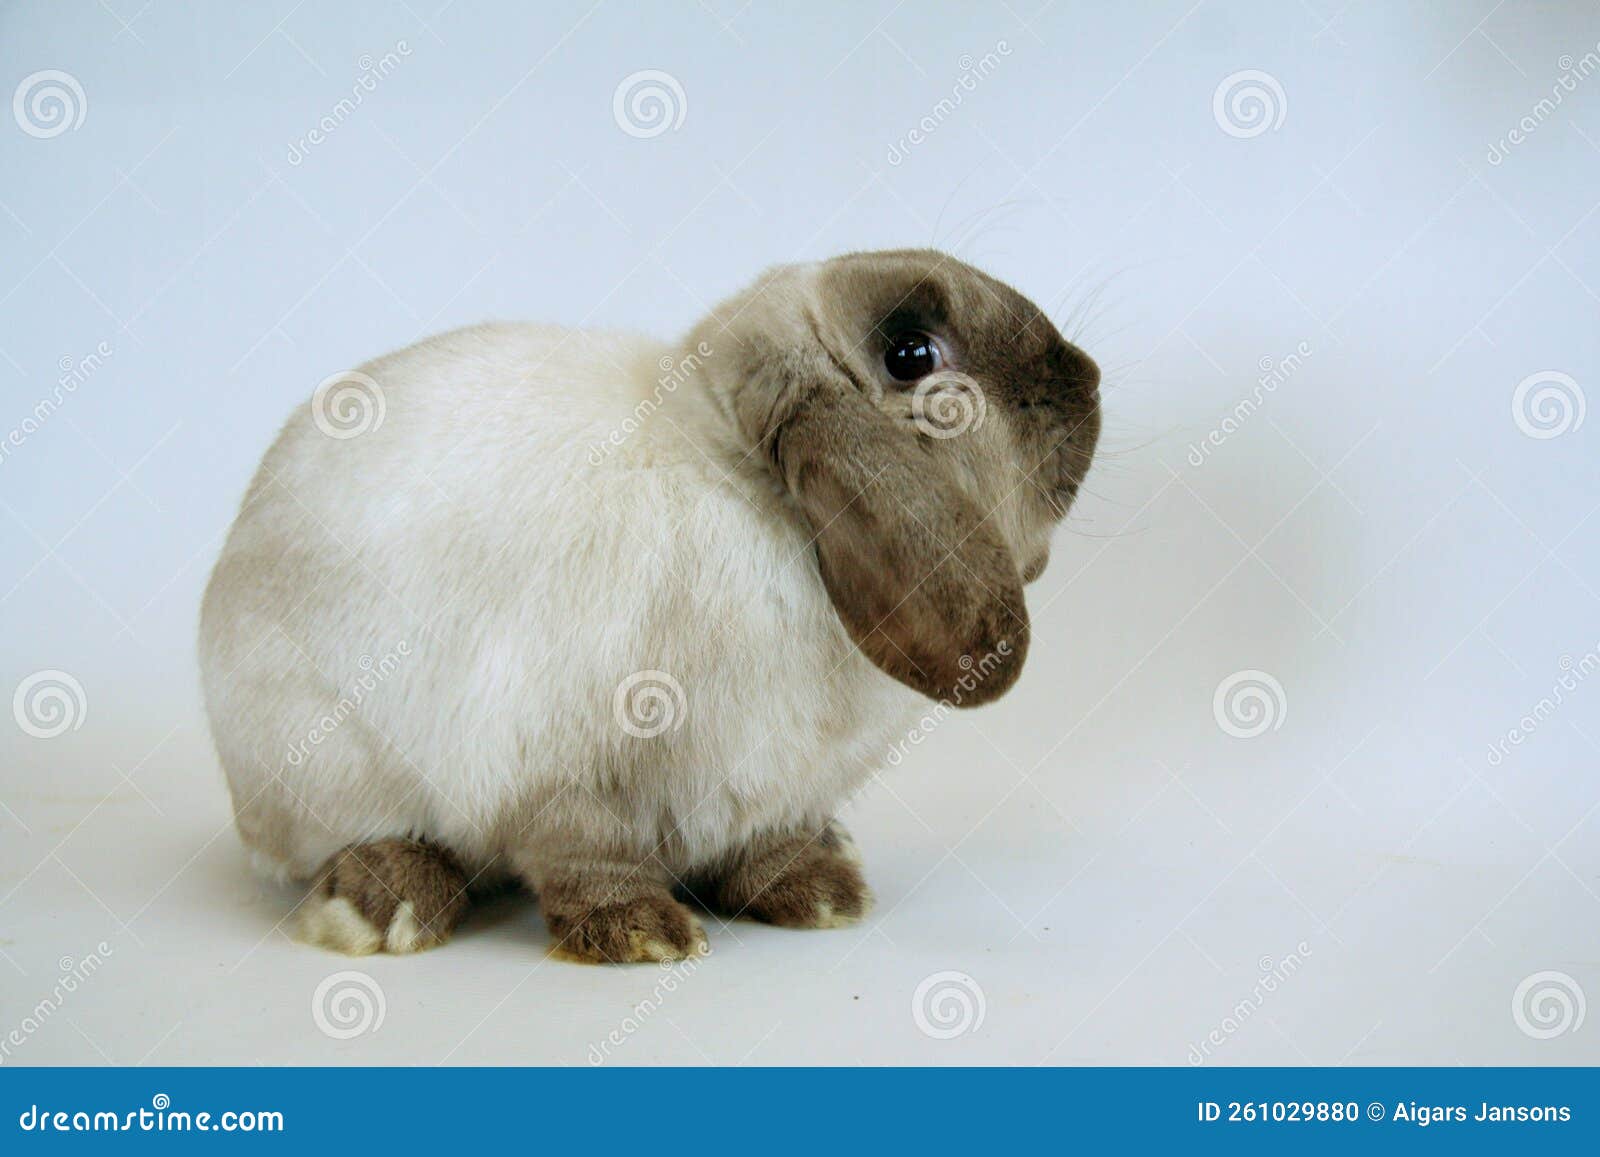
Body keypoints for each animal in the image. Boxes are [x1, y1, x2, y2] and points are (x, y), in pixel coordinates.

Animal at [198, 248, 1100, 963]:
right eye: (912, 352)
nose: (1086, 381)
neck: (749, 483)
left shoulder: (770, 796)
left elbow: (767, 847)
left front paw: (822, 892)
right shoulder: (567, 774)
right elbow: (590, 858)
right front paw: (640, 933)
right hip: (324, 759)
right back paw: (387, 905)